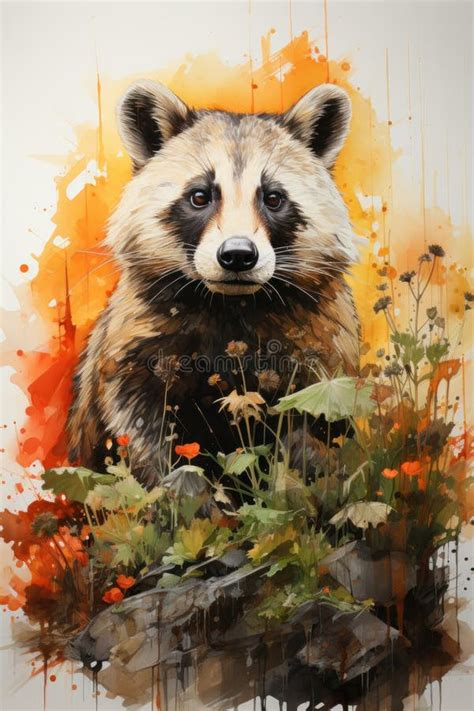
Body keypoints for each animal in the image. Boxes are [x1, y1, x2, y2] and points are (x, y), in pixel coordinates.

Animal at [67, 80, 360, 482]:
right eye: (200, 196)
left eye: (273, 198)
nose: (237, 255)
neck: (232, 303)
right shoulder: (136, 339)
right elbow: (138, 422)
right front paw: (178, 480)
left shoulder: (322, 342)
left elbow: (320, 418)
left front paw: (306, 461)